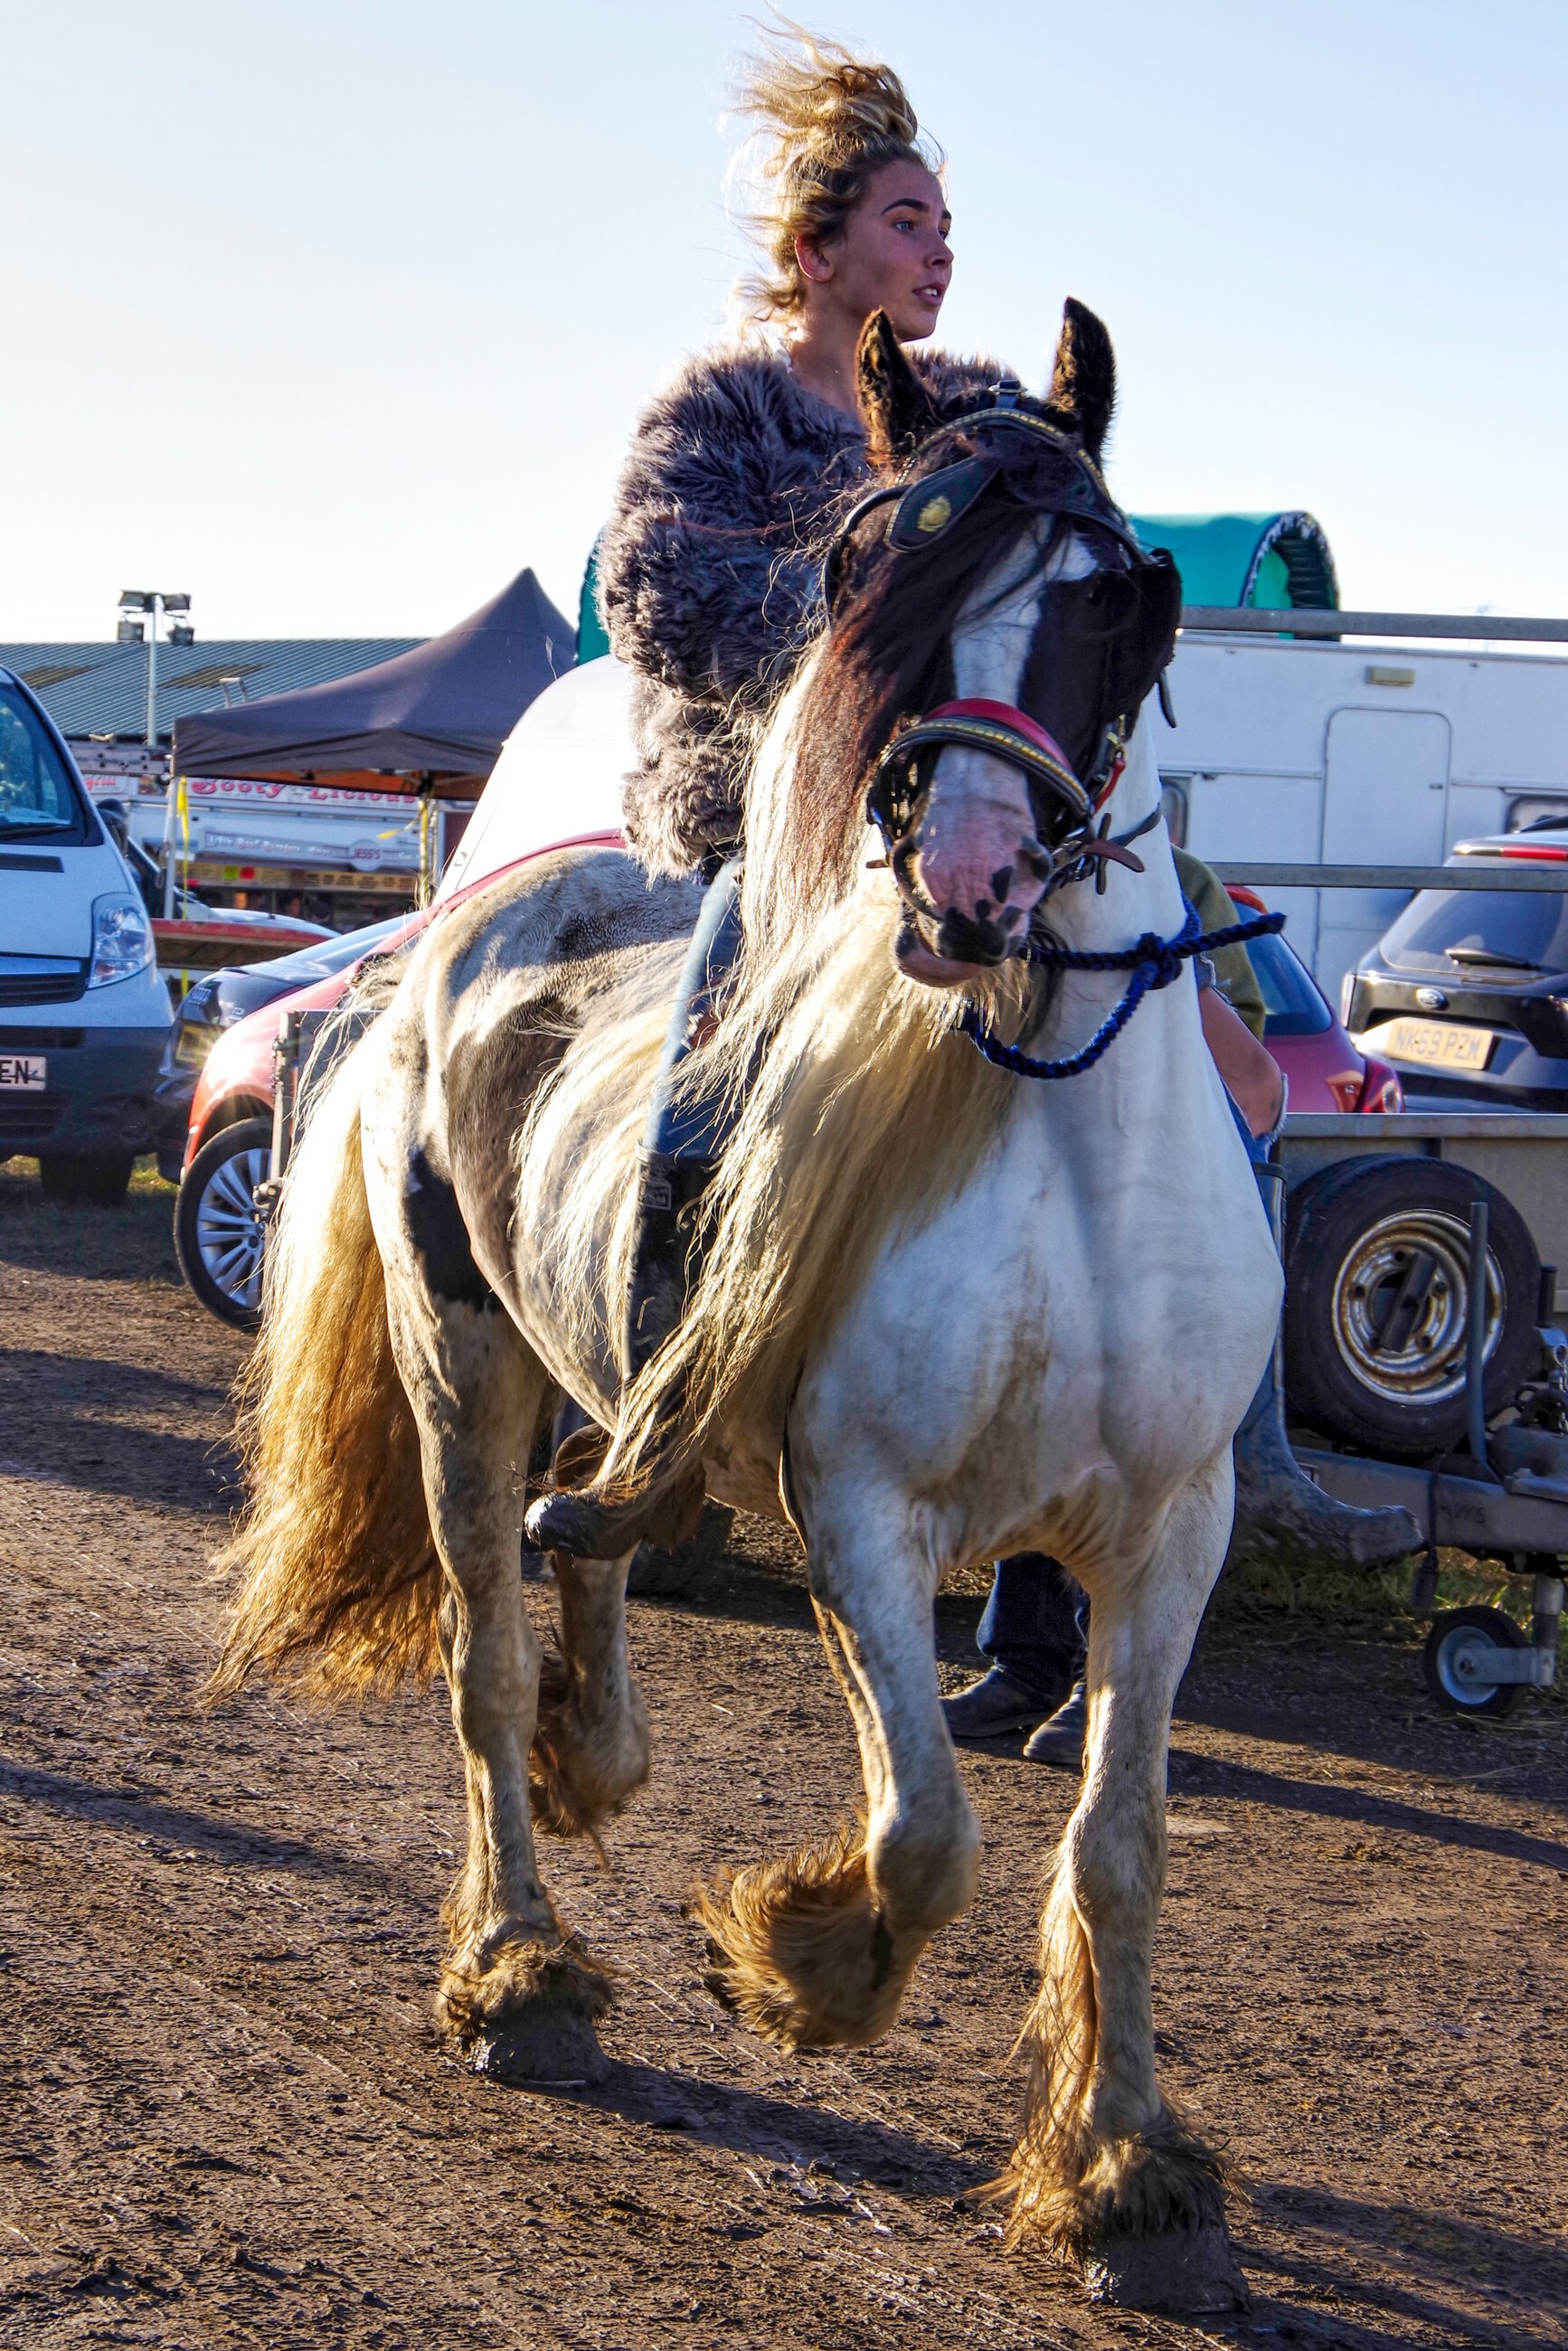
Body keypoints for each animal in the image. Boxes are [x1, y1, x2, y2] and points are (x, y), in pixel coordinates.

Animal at [211, 300, 1282, 2314]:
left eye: (1116, 591)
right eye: (865, 574)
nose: (967, 880)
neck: (1059, 1143)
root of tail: (460, 923)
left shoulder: (1171, 1531)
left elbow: (1117, 1847)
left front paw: (1125, 2176)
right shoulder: (861, 1507)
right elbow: (924, 1831)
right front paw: (803, 1958)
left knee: (595, 1530)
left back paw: (592, 1746)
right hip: (462, 1368)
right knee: (483, 1653)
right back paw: (523, 1974)